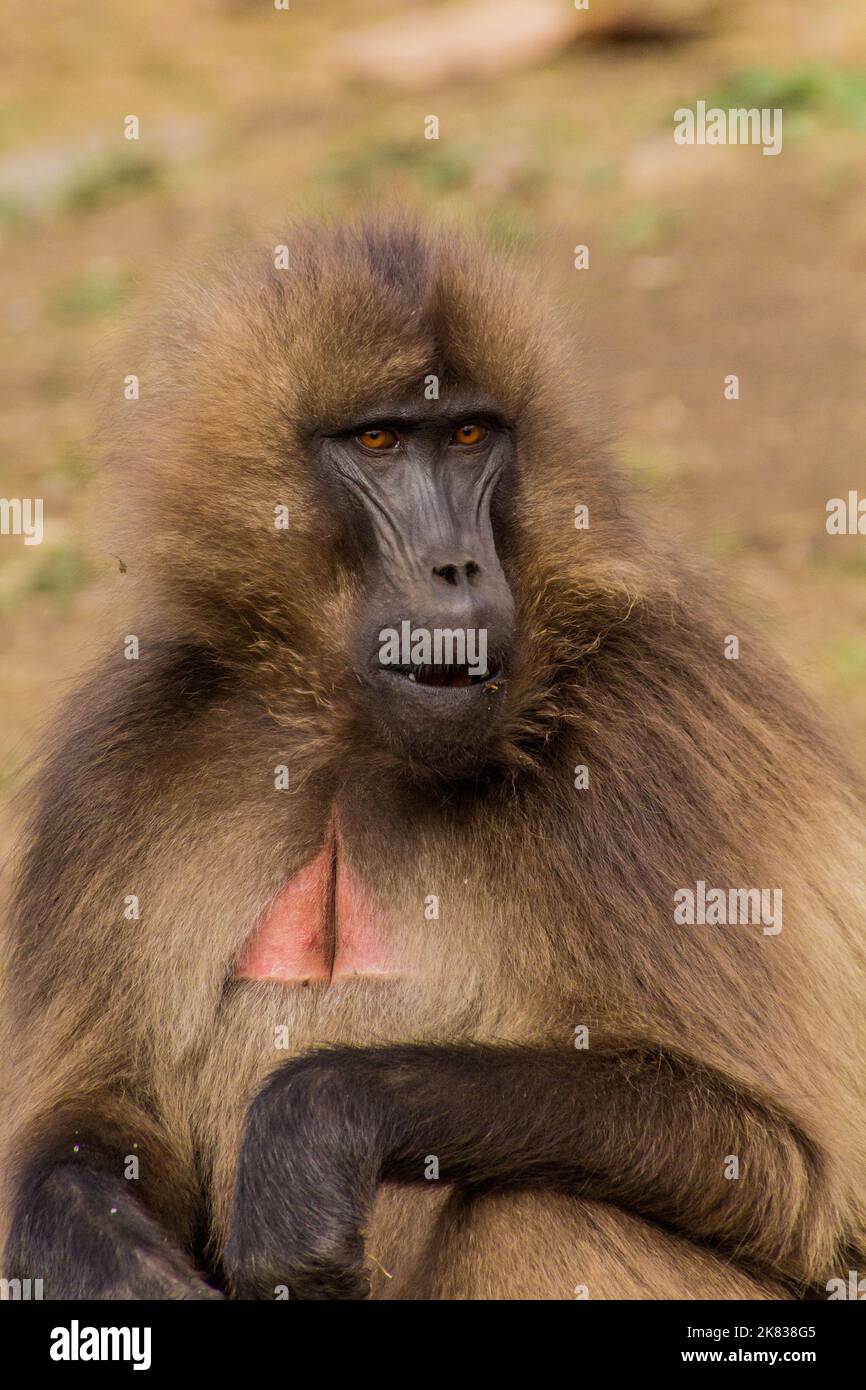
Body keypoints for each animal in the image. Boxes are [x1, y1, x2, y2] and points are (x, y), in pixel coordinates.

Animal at [2, 220, 865, 1301]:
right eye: (379, 441)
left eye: (468, 437)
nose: (455, 567)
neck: (349, 737)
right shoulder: (123, 755)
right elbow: (93, 1129)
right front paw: (126, 1270)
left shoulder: (664, 727)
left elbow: (792, 1163)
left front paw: (312, 1126)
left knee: (540, 1208)